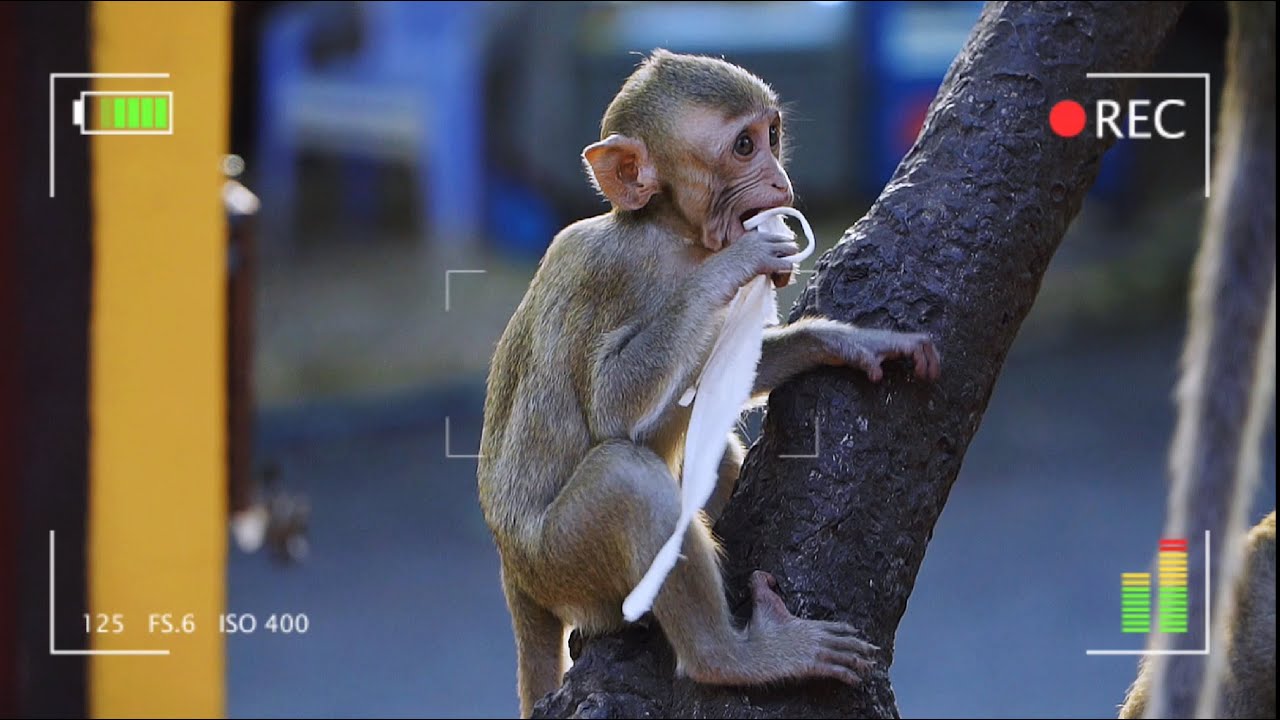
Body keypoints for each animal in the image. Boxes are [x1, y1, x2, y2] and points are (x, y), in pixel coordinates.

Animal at [476, 49, 941, 718]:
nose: (779, 182)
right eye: (744, 146)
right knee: (624, 480)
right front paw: (739, 262)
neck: (671, 235)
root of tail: (513, 569)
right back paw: (732, 657)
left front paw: (843, 340)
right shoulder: (608, 272)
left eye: (772, 135)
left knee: (707, 449)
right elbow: (612, 406)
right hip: (561, 561)